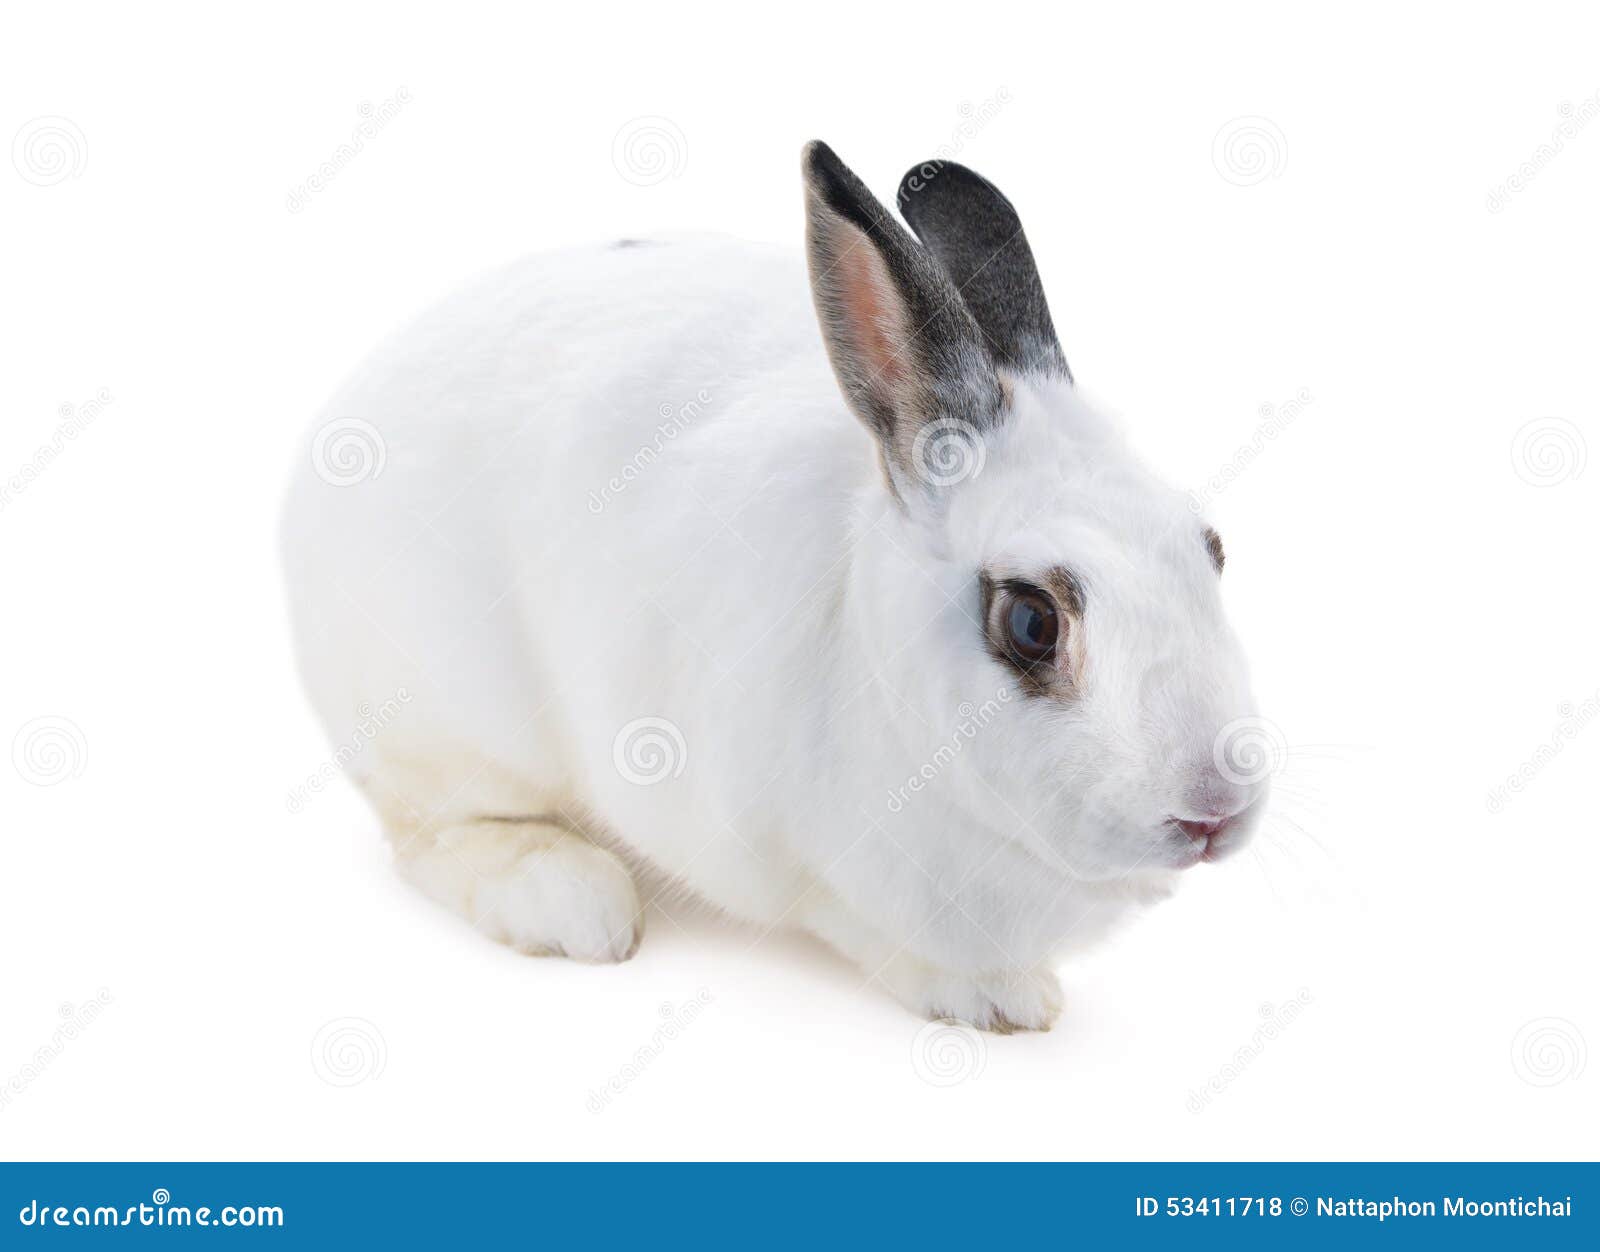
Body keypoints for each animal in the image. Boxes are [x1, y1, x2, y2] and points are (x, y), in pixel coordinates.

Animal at [280, 141, 1267, 1032]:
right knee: (432, 831)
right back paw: (569, 899)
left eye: (1211, 549)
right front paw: (1000, 1000)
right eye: (1030, 620)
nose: (1218, 810)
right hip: (445, 731)